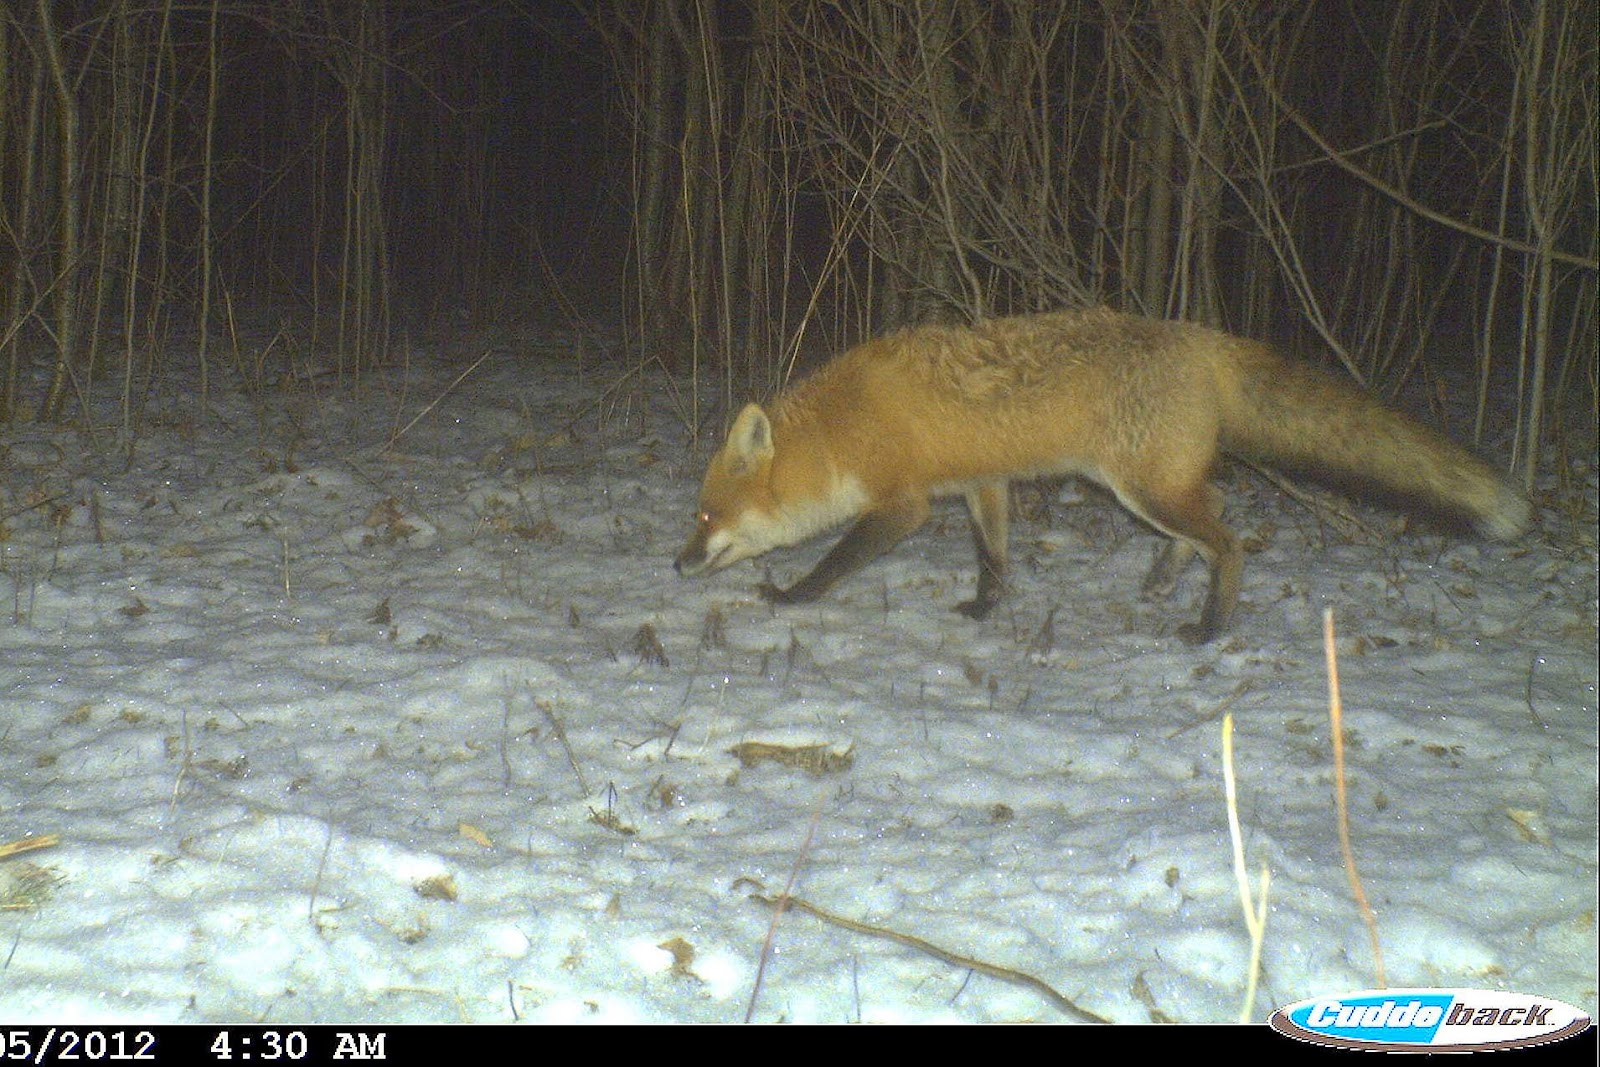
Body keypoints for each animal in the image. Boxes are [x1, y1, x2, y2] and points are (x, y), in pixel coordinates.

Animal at [673, 307, 1531, 643]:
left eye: (707, 516)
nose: (677, 563)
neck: (842, 426)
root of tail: (1199, 336)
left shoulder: (905, 504)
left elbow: (835, 561)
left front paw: (792, 595)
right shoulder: (983, 482)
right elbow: (994, 560)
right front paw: (986, 610)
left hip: (1140, 488)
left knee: (1229, 541)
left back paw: (1210, 628)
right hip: (1149, 490)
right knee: (1213, 509)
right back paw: (1163, 578)